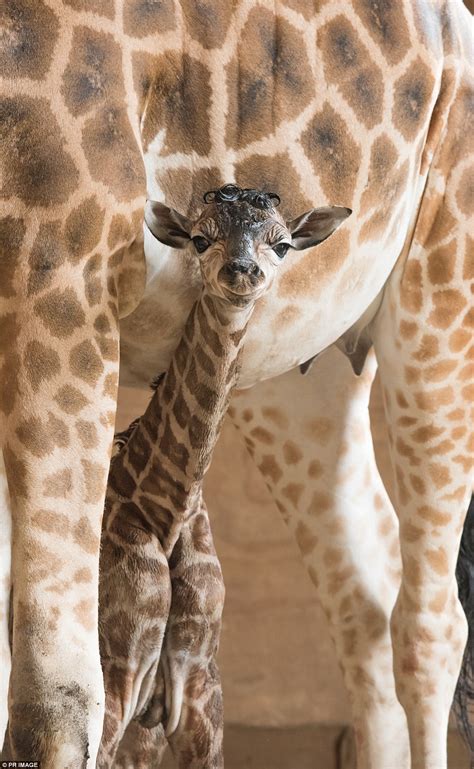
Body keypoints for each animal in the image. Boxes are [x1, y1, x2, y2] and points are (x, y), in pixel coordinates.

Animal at [97, 186, 349, 767]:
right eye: (199, 238)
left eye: (281, 244)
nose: (242, 271)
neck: (168, 506)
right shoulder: (116, 675)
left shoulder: (194, 690)